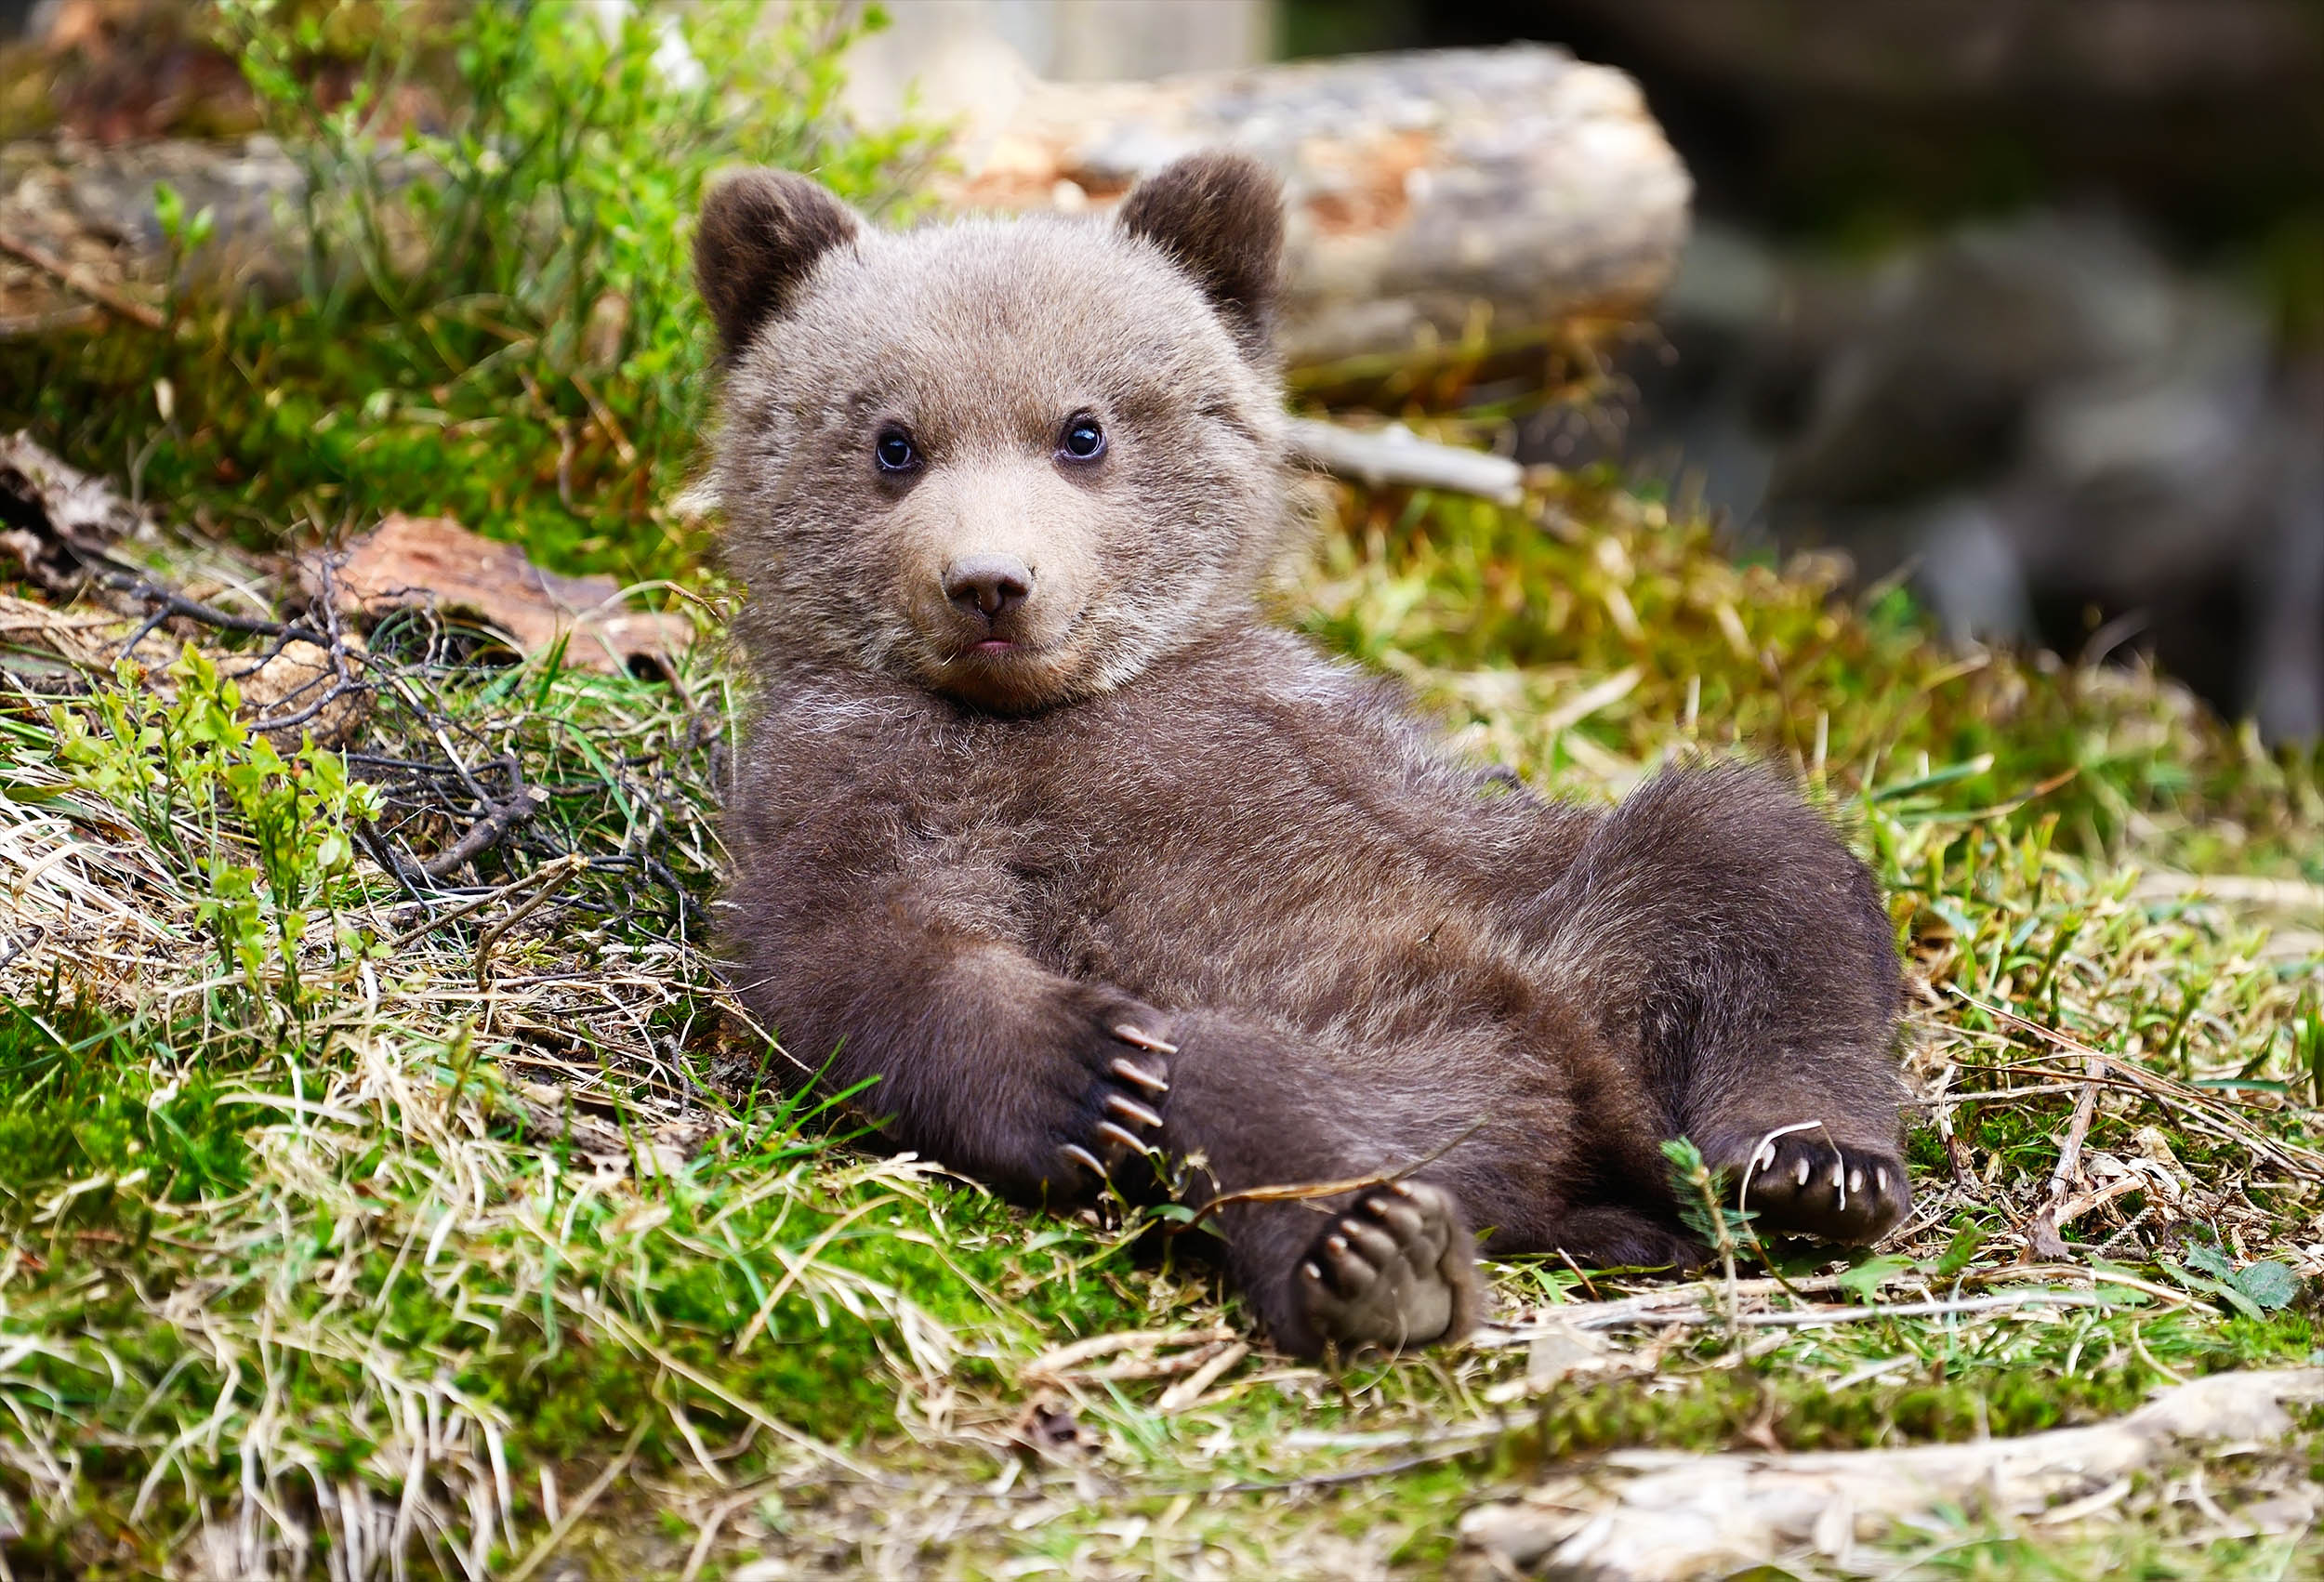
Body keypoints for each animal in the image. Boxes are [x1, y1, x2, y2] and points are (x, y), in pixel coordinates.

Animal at [694, 151, 1910, 1358]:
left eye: (1082, 430)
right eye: (893, 442)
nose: (990, 582)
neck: (1041, 710)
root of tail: (1596, 1116)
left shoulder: (1316, 723)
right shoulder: (857, 777)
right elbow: (858, 951)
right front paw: (1079, 1070)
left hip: (1579, 936)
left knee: (1747, 861)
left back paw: (1816, 1162)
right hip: (1365, 1052)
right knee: (1239, 1084)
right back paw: (1376, 1253)